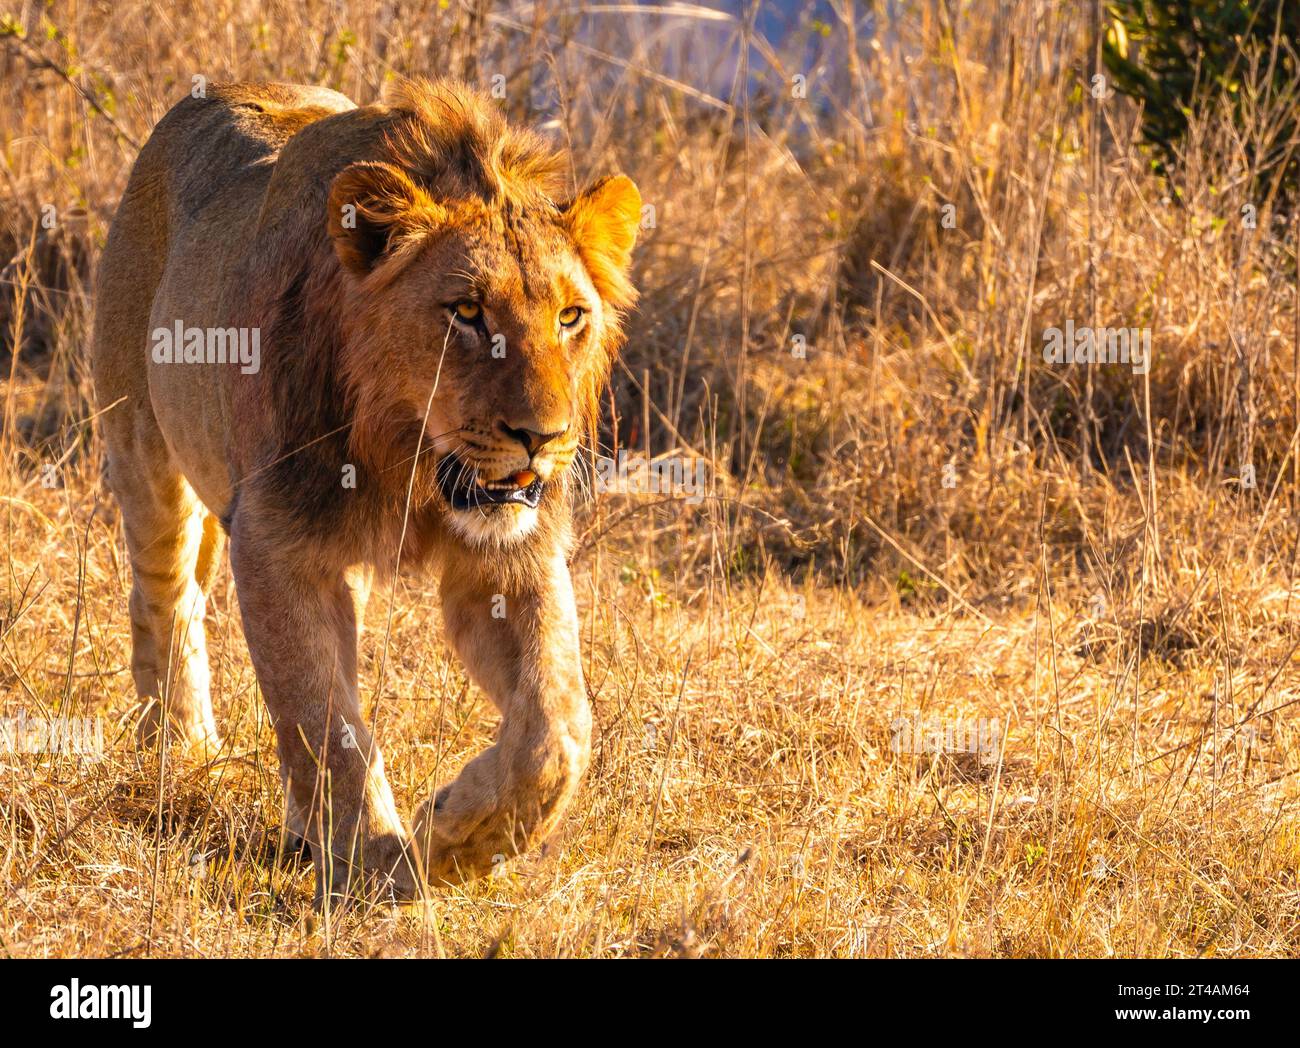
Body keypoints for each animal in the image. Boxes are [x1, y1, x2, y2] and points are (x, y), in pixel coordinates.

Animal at [91, 77, 640, 902]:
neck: (406, 462)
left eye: (571, 316)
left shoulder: (509, 562)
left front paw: (458, 839)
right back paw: (181, 748)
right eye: (466, 313)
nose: (541, 437)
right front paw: (373, 863)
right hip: (148, 453)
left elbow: (557, 726)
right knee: (166, 597)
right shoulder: (277, 545)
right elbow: (325, 722)